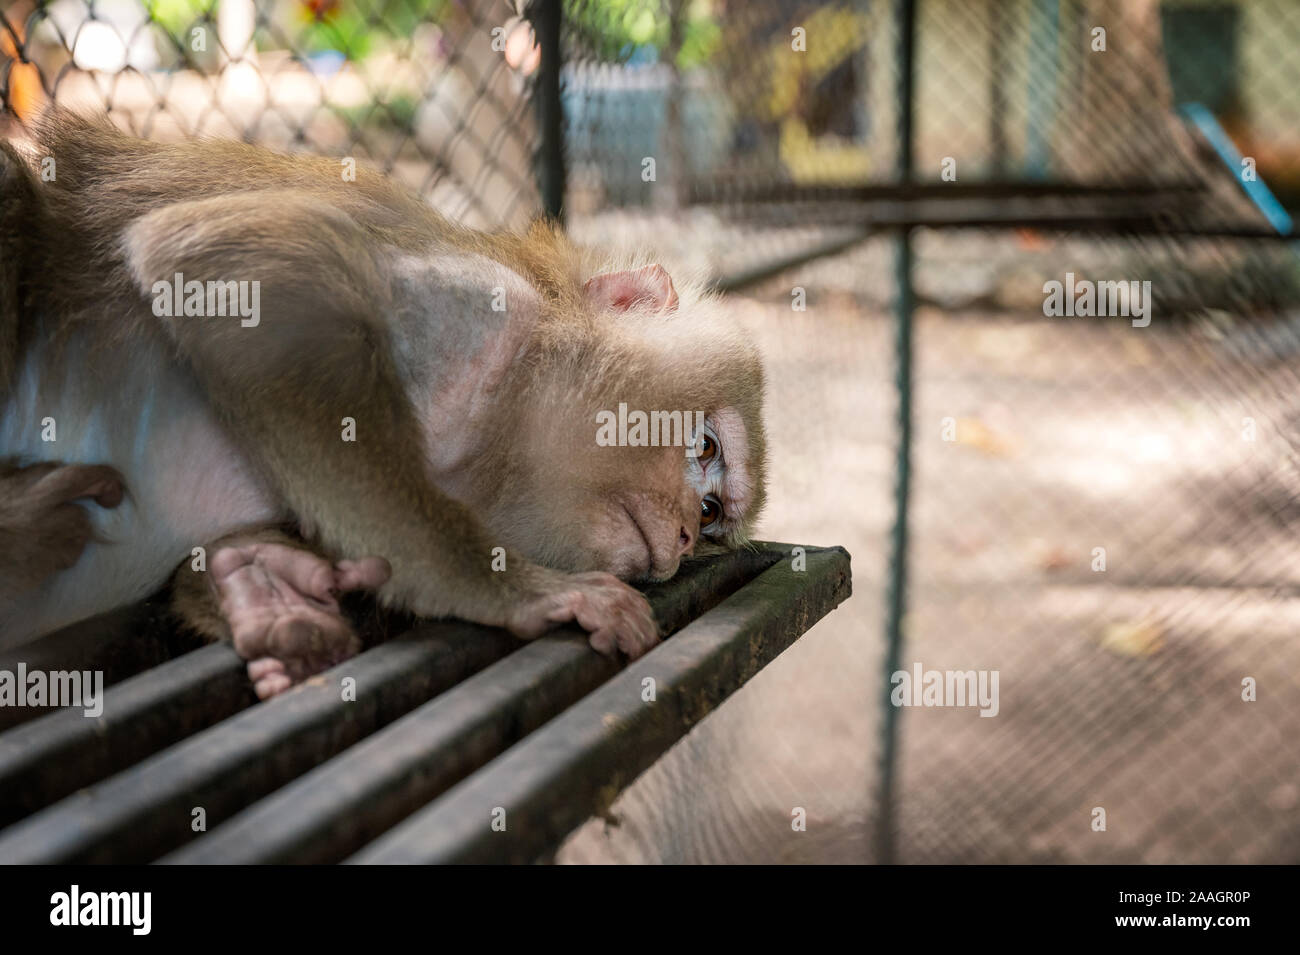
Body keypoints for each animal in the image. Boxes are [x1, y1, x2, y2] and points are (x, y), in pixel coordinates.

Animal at [0, 111, 766, 697]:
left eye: (710, 515)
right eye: (704, 447)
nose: (683, 537)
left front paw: (261, 589)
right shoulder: (484, 305)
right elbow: (229, 264)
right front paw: (517, 591)